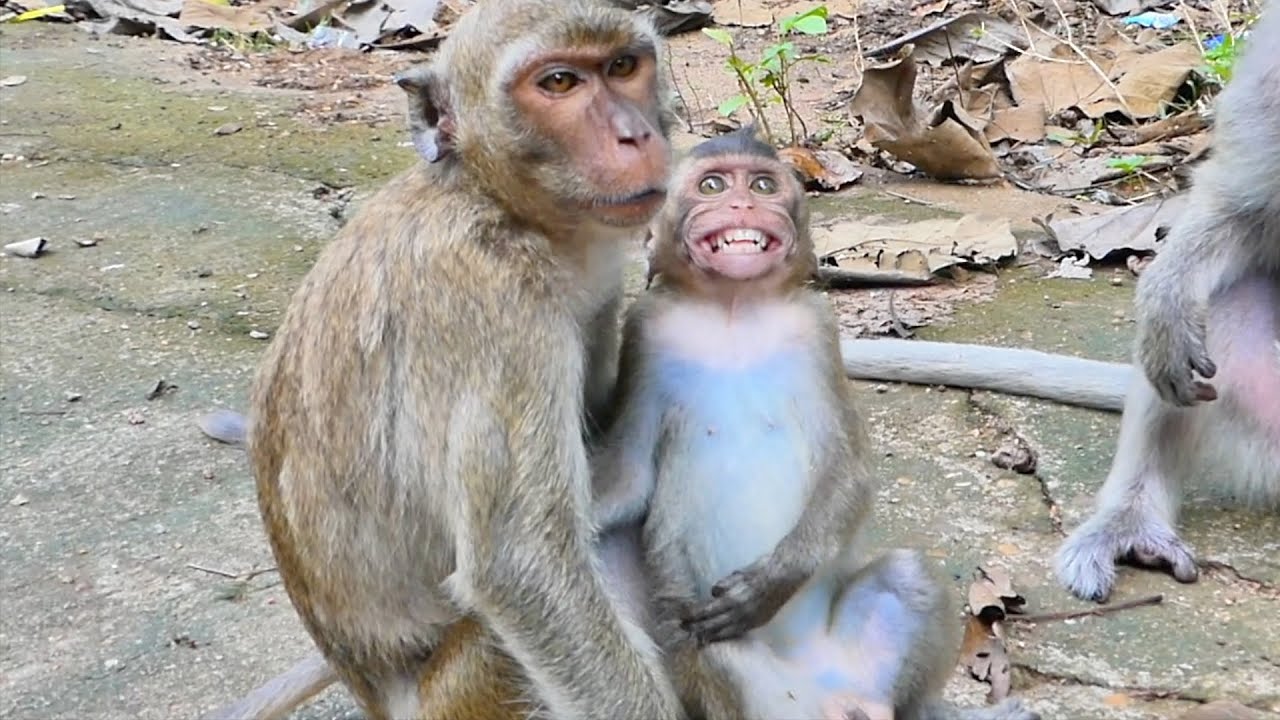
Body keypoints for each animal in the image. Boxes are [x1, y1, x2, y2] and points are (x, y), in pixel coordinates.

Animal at [225, 1, 690, 719]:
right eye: (559, 83)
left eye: (621, 66)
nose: (633, 136)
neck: (492, 199)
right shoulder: (496, 309)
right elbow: (523, 564)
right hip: (468, 690)